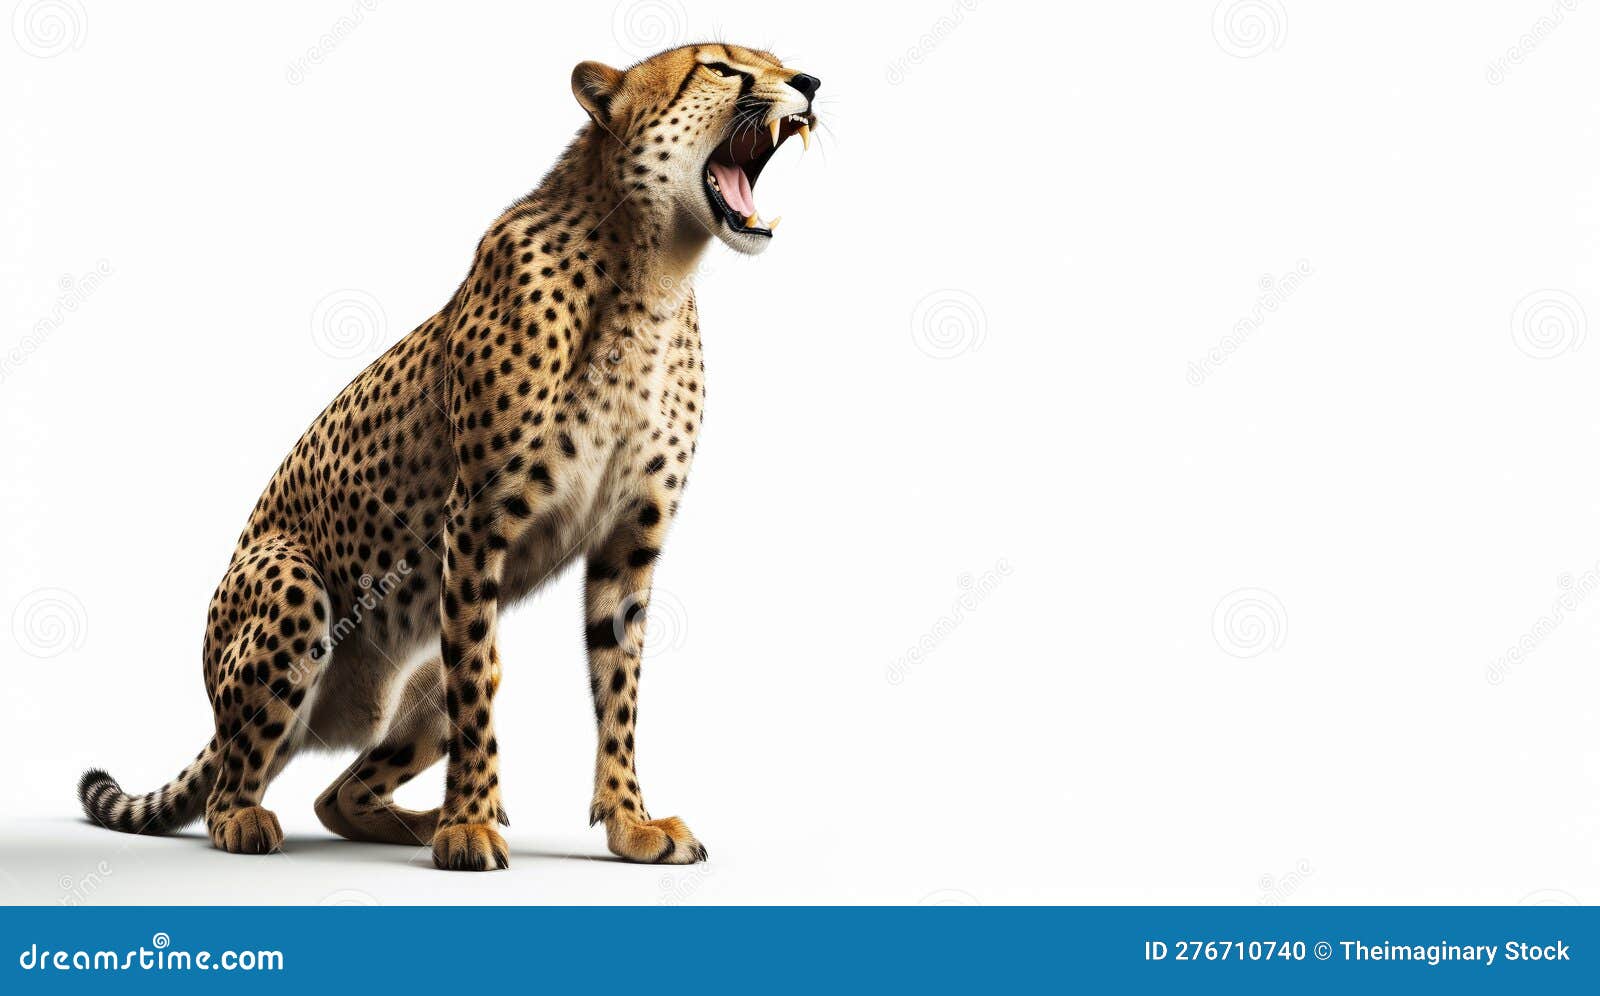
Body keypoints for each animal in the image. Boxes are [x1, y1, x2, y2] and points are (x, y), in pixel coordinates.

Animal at [74, 42, 821, 871]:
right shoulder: (476, 521)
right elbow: (479, 683)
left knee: (334, 796)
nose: (810, 83)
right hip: (288, 581)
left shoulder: (631, 536)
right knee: (235, 780)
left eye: (777, 60)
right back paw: (252, 817)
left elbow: (617, 685)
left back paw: (419, 818)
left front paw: (629, 822)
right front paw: (469, 824)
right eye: (720, 67)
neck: (653, 273)